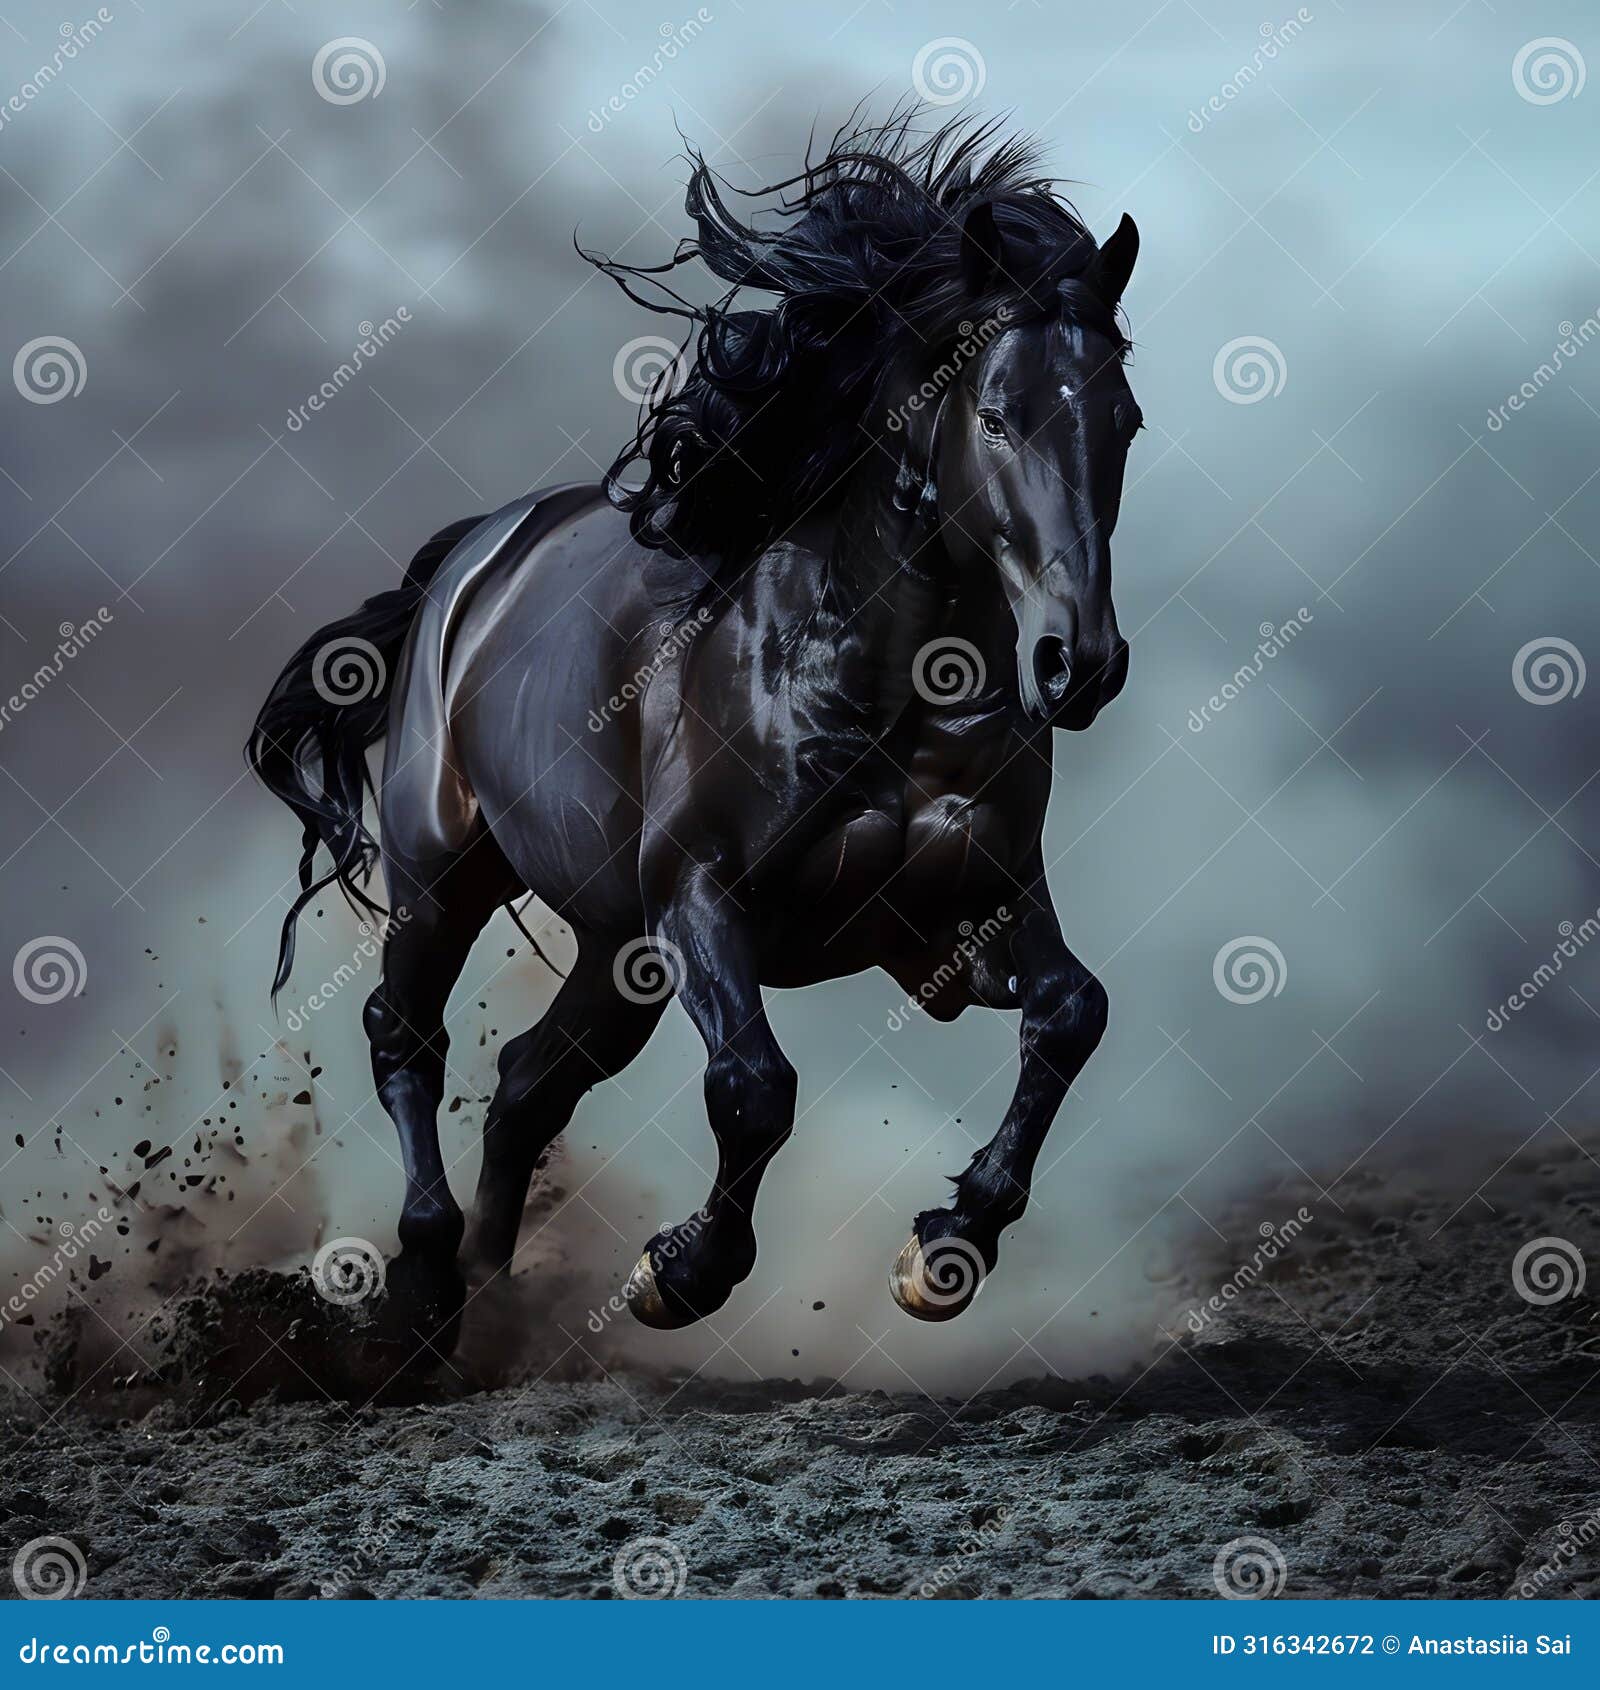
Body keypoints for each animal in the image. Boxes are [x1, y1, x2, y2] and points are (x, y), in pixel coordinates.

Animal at [247, 112, 1143, 1336]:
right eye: (997, 417)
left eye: (1126, 422)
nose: (1079, 663)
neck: (876, 685)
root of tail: (476, 557)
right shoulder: (700, 897)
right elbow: (755, 1087)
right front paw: (680, 1271)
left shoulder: (972, 906)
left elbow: (1070, 1012)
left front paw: (948, 1243)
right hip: (445, 874)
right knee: (406, 1032)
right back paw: (428, 1280)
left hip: (615, 953)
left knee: (528, 1083)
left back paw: (491, 1293)